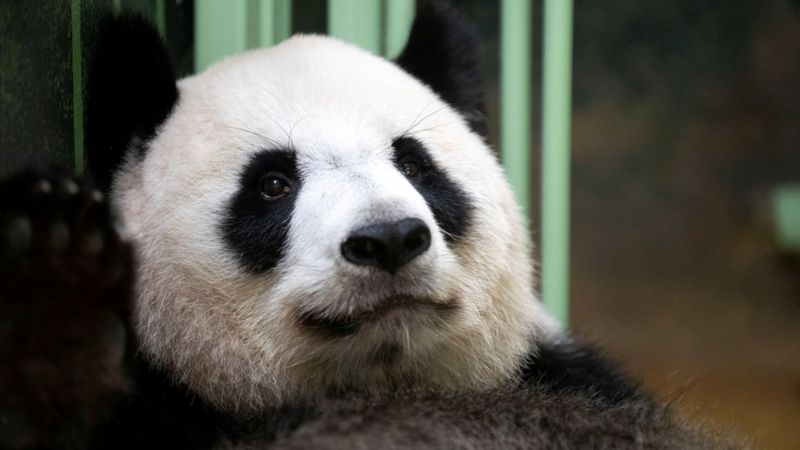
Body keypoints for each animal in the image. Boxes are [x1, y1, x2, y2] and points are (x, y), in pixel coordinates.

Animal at [0, 2, 723, 449]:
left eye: (414, 163)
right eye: (273, 184)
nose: (390, 239)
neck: (378, 382)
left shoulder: (568, 381)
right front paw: (59, 287)